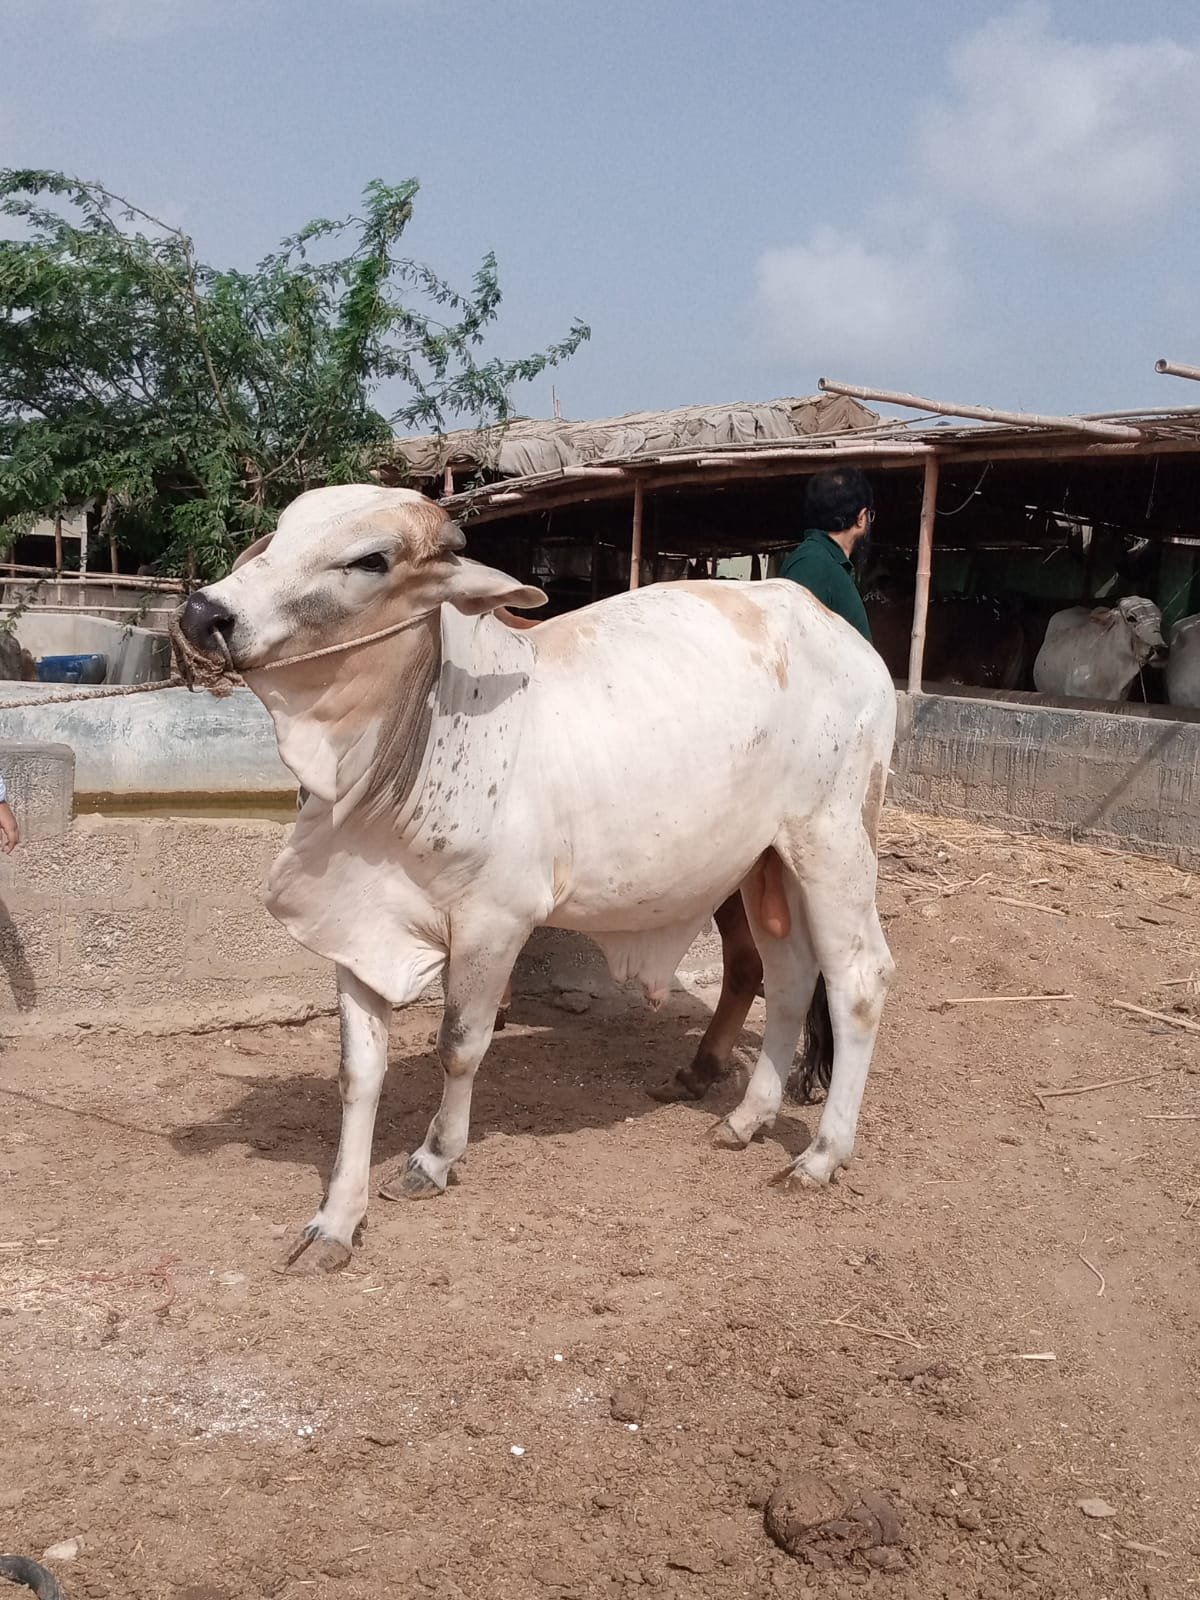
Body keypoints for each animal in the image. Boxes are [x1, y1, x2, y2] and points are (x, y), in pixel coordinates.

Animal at [177, 485, 896, 1274]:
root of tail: (844, 636)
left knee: (858, 980)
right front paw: (336, 1220)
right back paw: (745, 1119)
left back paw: (821, 1155)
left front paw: (433, 1159)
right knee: (789, 976)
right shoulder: (360, 929)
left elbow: (460, 1044)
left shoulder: (496, 922)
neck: (420, 735)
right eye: (279, 533)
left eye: (371, 560)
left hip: (831, 840)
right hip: (764, 863)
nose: (205, 614)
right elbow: (358, 1072)